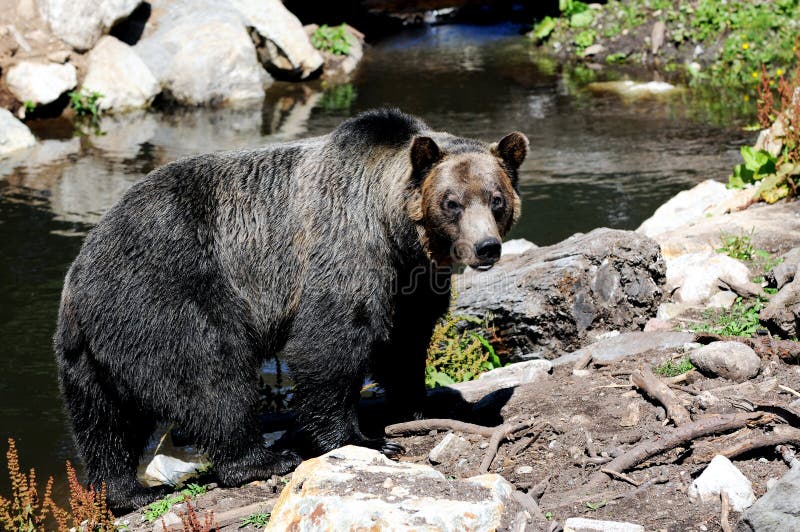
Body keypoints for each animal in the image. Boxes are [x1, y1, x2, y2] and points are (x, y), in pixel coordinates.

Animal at [54, 108, 528, 513]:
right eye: (452, 202)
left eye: (496, 198)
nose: (486, 247)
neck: (396, 233)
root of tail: (81, 270)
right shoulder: (345, 249)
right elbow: (331, 342)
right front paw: (366, 440)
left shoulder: (412, 282)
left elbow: (405, 342)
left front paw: (419, 405)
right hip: (169, 291)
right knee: (211, 376)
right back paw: (261, 459)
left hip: (92, 348)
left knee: (104, 419)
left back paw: (126, 492)